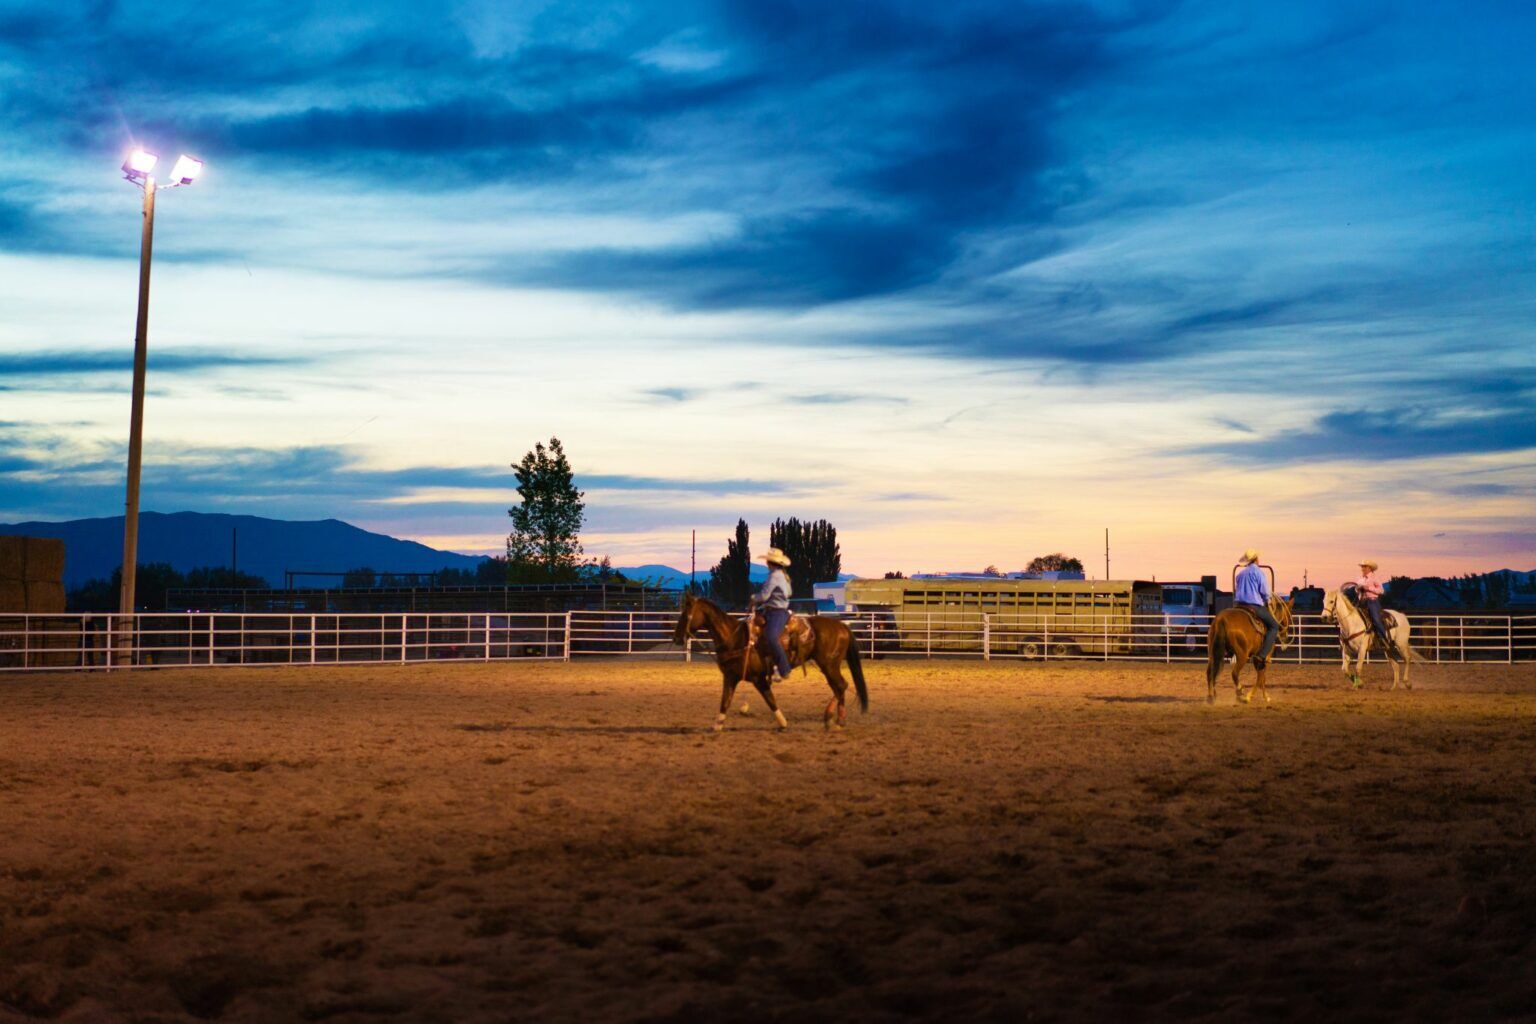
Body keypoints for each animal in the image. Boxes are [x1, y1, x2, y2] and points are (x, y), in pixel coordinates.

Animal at [672, 594, 868, 732]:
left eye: (685, 614)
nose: (675, 638)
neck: (735, 638)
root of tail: (843, 626)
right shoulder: (730, 676)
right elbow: (725, 701)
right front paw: (717, 725)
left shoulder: (758, 678)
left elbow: (770, 699)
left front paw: (783, 723)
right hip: (828, 666)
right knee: (840, 687)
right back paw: (834, 719)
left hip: (829, 664)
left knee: (841, 686)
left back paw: (834, 719)